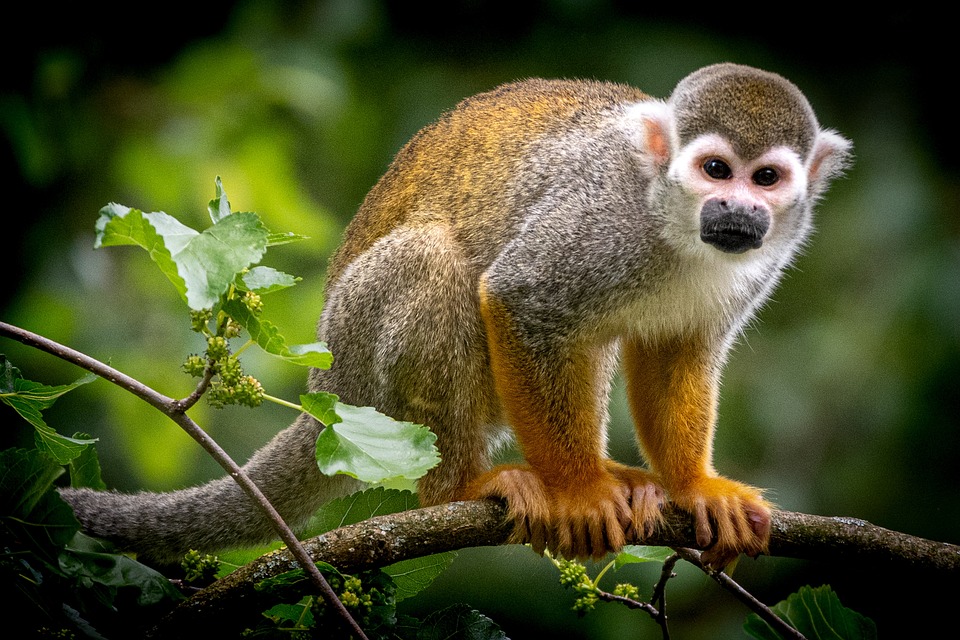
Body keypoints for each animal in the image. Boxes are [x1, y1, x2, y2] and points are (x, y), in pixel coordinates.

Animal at [62, 63, 851, 568]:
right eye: (716, 170)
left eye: (766, 178)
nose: (737, 212)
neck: (676, 225)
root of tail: (324, 396)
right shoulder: (600, 221)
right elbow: (519, 298)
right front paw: (578, 492)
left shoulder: (762, 262)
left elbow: (677, 351)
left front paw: (694, 485)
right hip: (362, 370)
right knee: (433, 263)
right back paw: (465, 486)